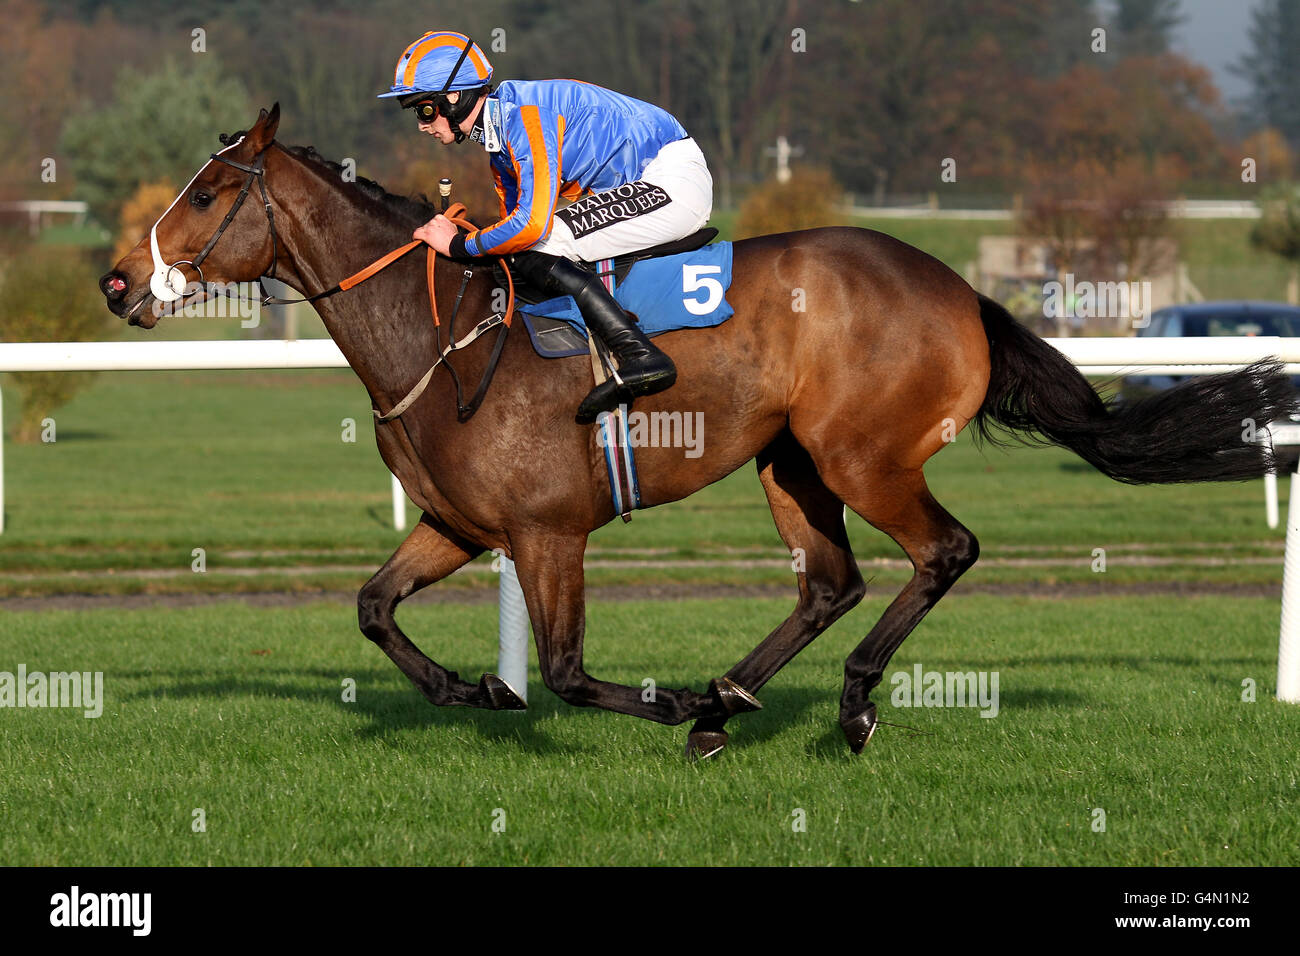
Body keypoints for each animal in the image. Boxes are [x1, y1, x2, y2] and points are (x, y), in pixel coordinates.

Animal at [99, 106, 1296, 758]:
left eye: (205, 193)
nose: (115, 283)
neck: (436, 335)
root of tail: (959, 289)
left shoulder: (548, 532)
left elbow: (570, 669)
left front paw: (653, 695)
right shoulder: (460, 523)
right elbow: (373, 608)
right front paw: (474, 687)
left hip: (863, 454)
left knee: (942, 552)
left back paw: (830, 705)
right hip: (790, 461)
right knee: (830, 582)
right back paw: (728, 704)